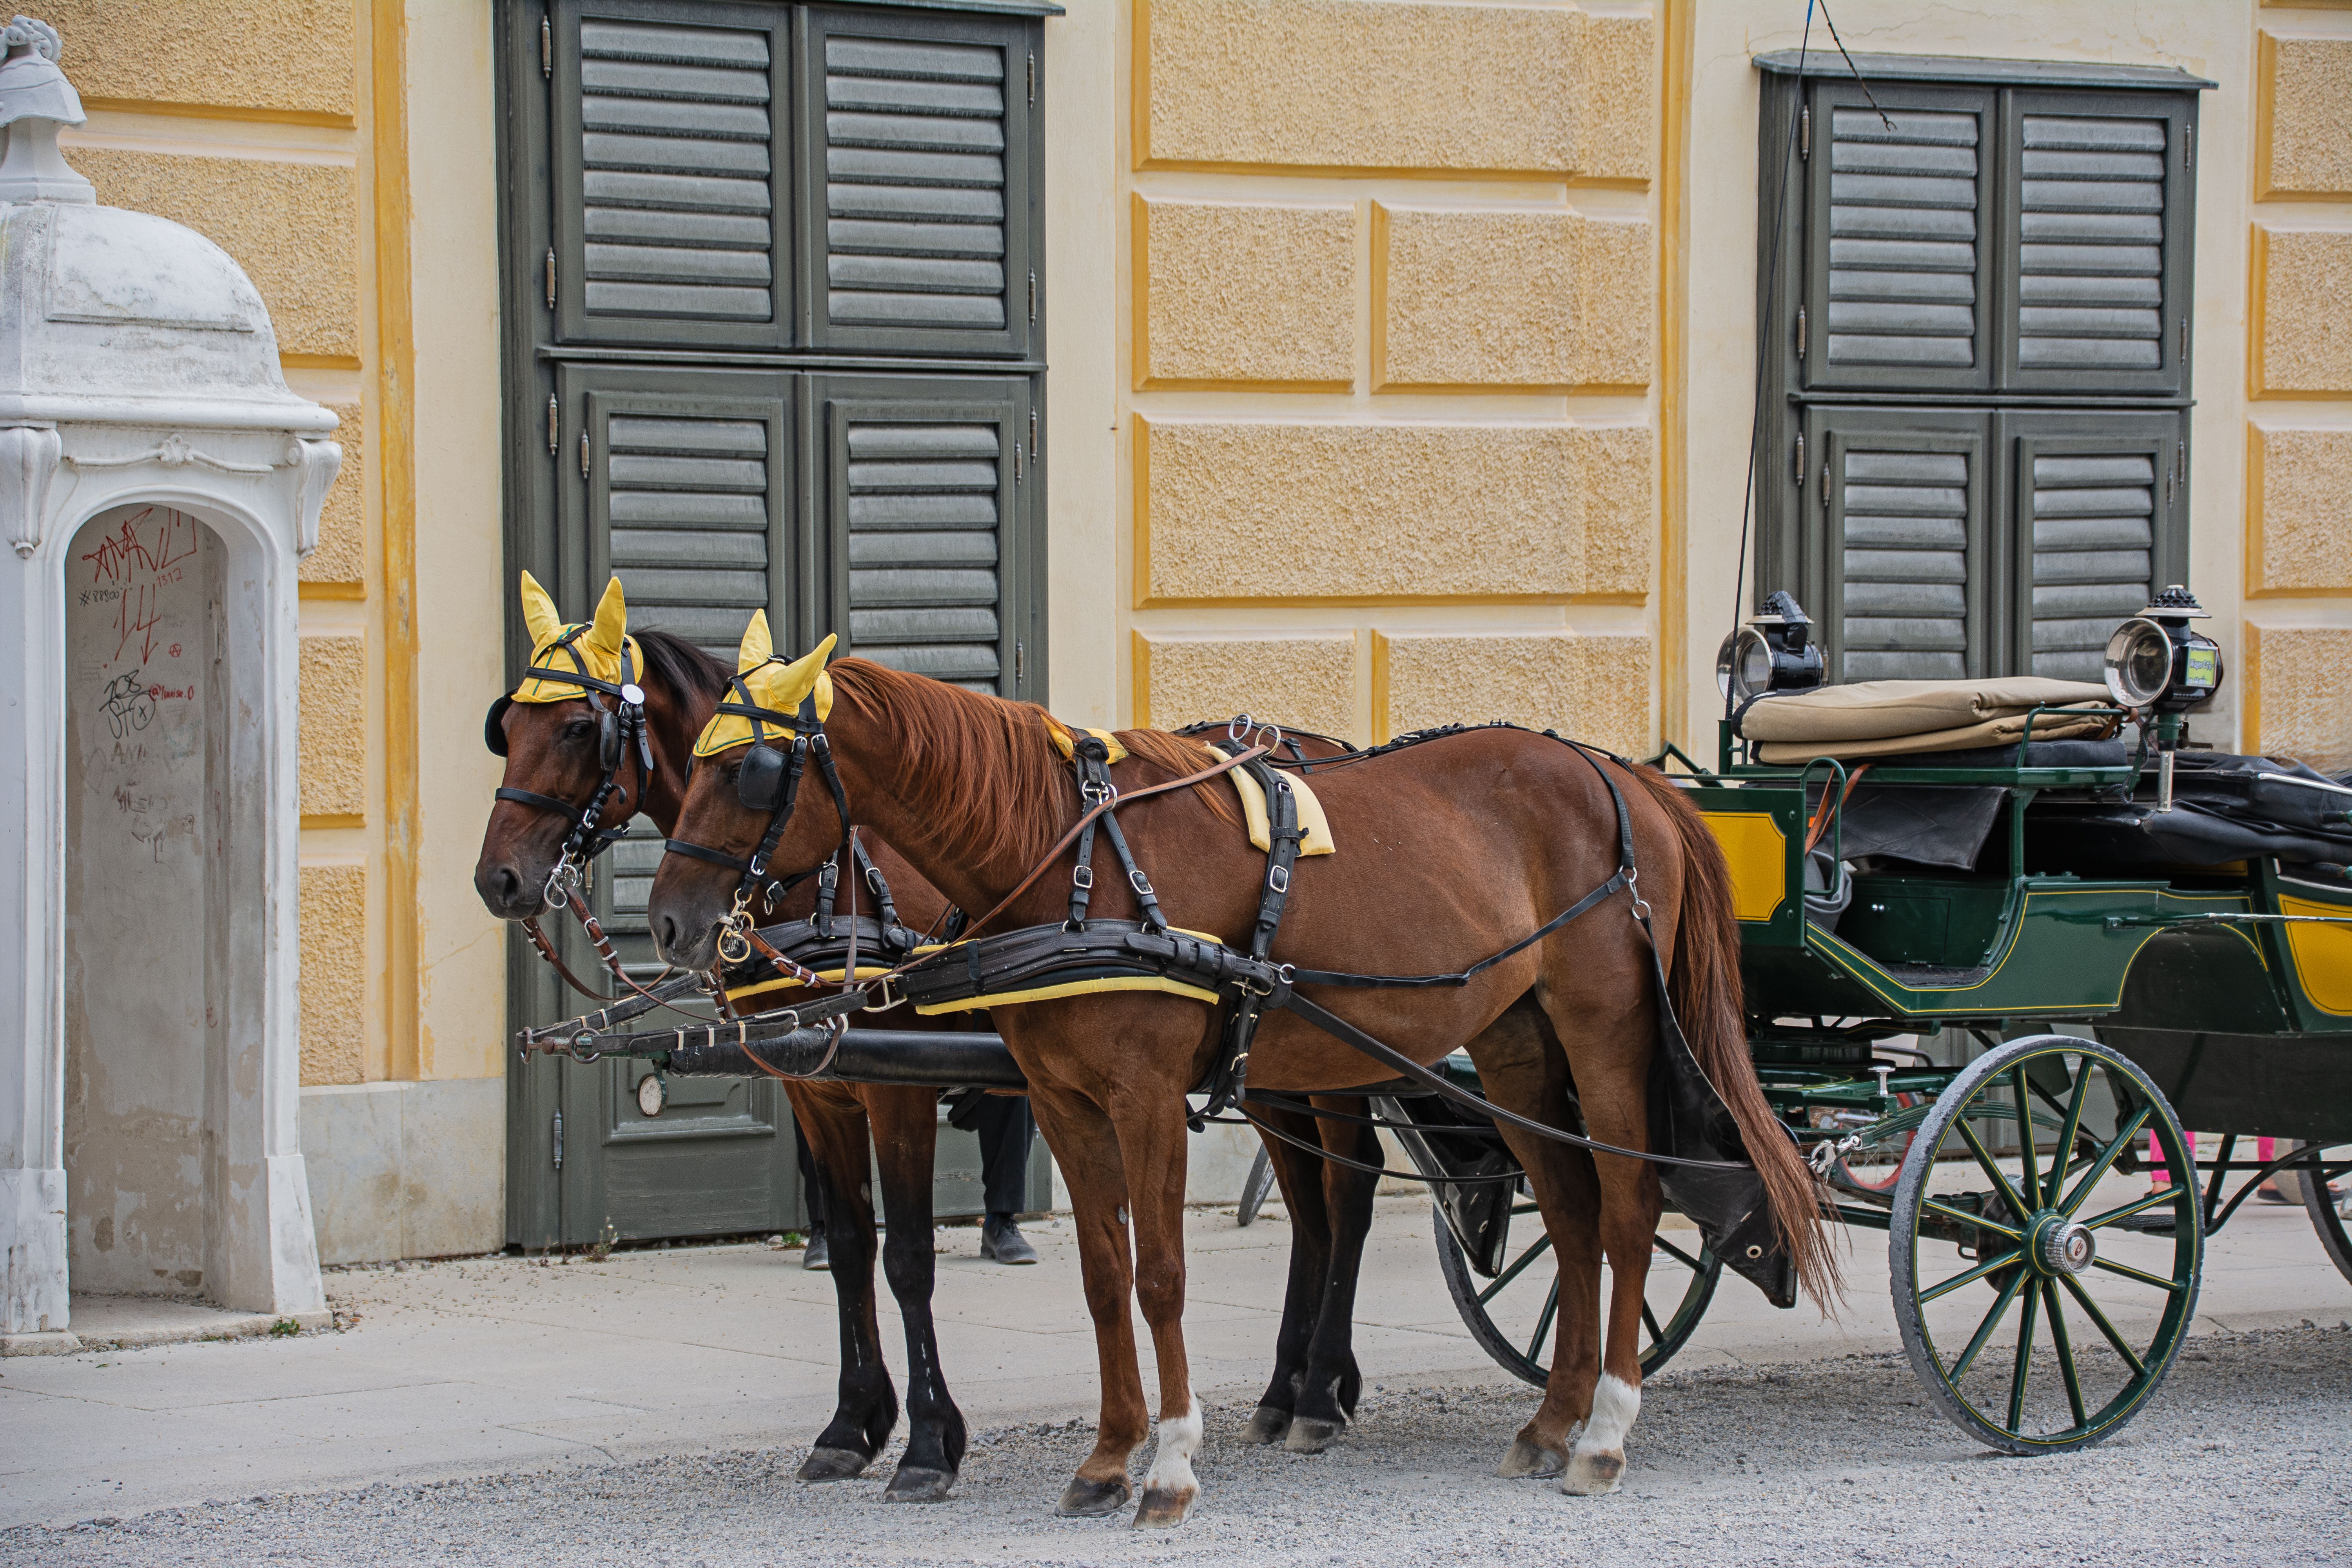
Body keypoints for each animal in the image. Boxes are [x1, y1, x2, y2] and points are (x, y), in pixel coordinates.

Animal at [646, 638, 1834, 1525]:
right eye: (688, 760)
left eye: (748, 771)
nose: (670, 921)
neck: (1074, 861)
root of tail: (1621, 774)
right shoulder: (1068, 1104)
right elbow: (1103, 1276)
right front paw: (1108, 1456)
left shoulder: (1140, 1096)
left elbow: (1161, 1274)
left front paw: (1168, 1463)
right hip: (1515, 1046)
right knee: (1573, 1212)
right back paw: (1552, 1419)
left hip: (1605, 1031)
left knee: (1628, 1206)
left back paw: (1605, 1428)